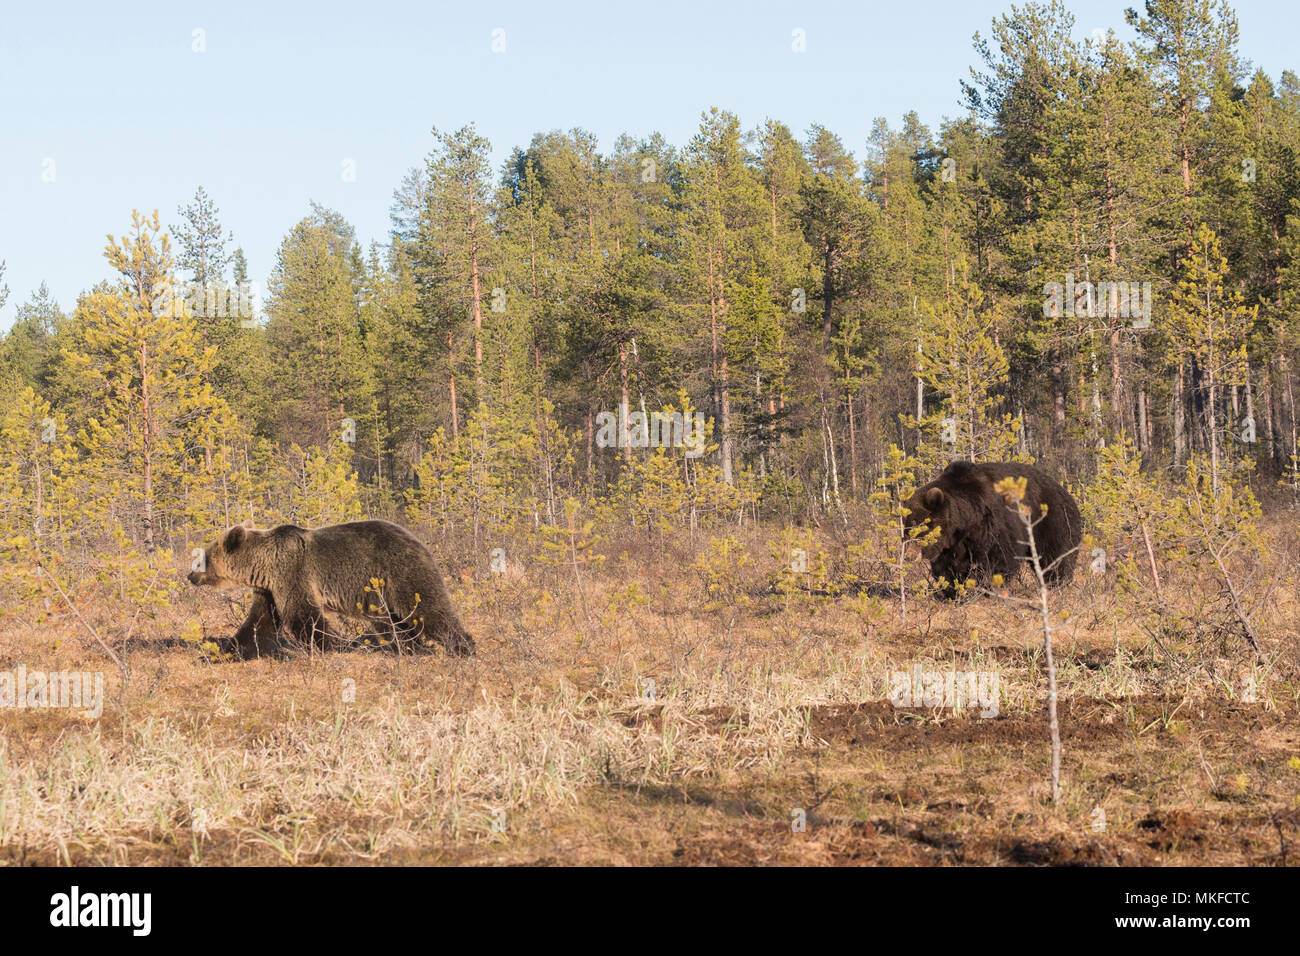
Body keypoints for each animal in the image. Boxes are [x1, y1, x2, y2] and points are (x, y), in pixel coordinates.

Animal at [187, 519, 475, 659]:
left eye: (200, 559)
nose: (190, 576)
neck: (264, 565)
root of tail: (419, 541)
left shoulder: (293, 574)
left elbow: (304, 617)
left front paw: (331, 645)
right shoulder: (269, 590)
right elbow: (258, 623)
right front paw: (224, 652)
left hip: (399, 571)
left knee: (429, 608)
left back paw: (462, 647)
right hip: (379, 594)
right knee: (391, 622)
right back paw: (410, 647)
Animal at [902, 460, 1081, 593]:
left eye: (920, 528)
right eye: (906, 530)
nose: (909, 555)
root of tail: (1065, 491)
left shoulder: (993, 524)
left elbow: (997, 558)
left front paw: (984, 586)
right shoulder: (953, 543)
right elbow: (948, 566)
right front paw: (952, 589)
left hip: (1053, 519)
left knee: (1056, 554)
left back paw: (1056, 582)